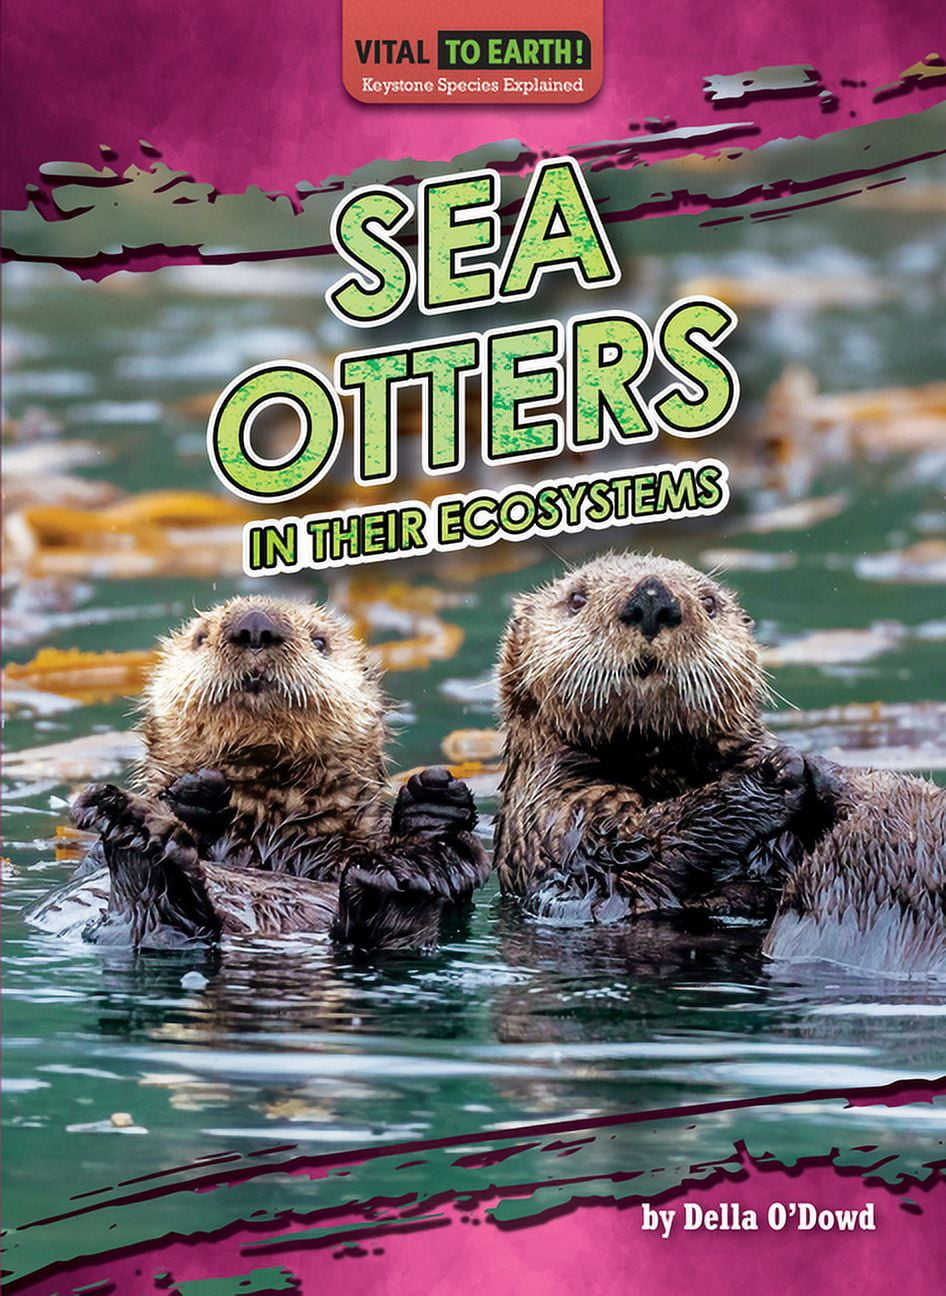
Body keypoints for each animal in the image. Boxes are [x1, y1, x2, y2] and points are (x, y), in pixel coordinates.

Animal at [28, 597, 488, 951]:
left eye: (320, 641)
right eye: (200, 637)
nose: (255, 625)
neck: (270, 832)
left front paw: (435, 803)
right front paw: (194, 796)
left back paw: (407, 867)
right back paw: (134, 832)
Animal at [494, 551, 945, 975]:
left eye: (709, 602)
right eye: (577, 598)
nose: (652, 598)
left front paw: (809, 767)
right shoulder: (560, 824)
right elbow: (631, 851)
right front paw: (780, 772)